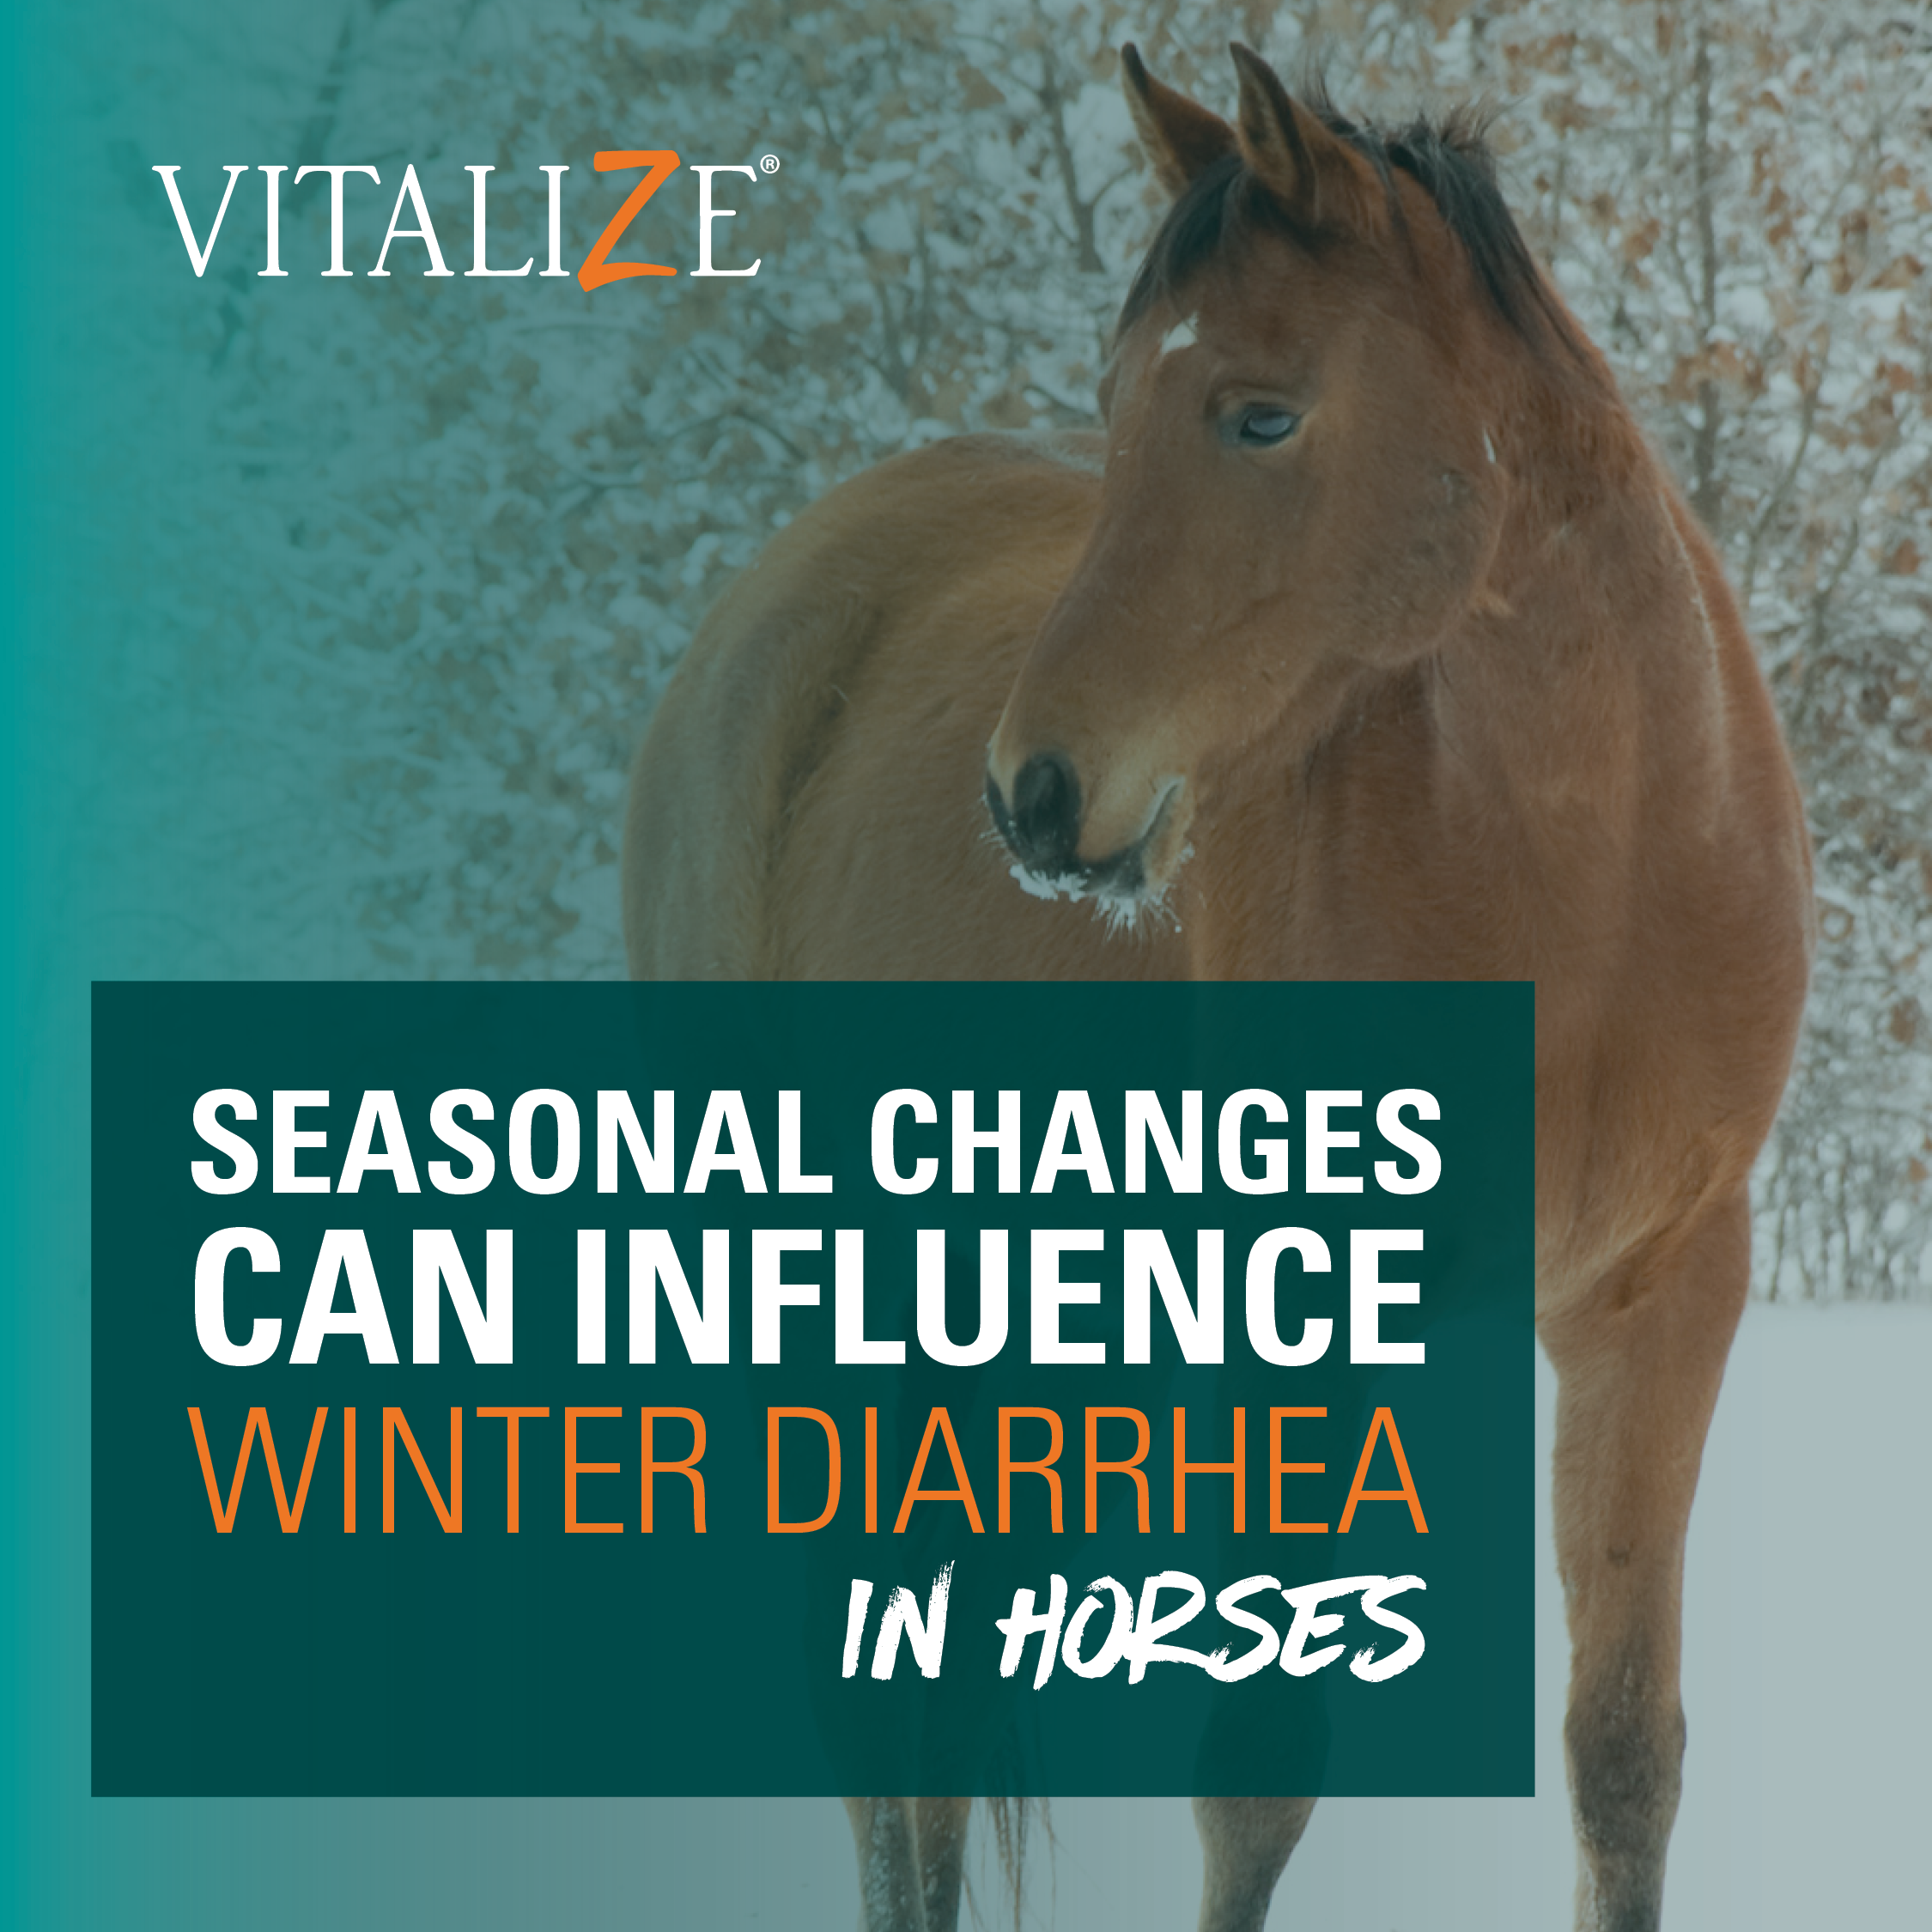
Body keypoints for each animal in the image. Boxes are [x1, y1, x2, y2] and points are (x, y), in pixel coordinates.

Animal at [623, 41, 1813, 1932]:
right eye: (1114, 404)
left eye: (1262, 414)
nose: (1035, 795)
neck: (1590, 873)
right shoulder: (1295, 1317)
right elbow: (1255, 1776)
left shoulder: (1661, 1296)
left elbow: (1624, 1759)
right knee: (884, 1740)